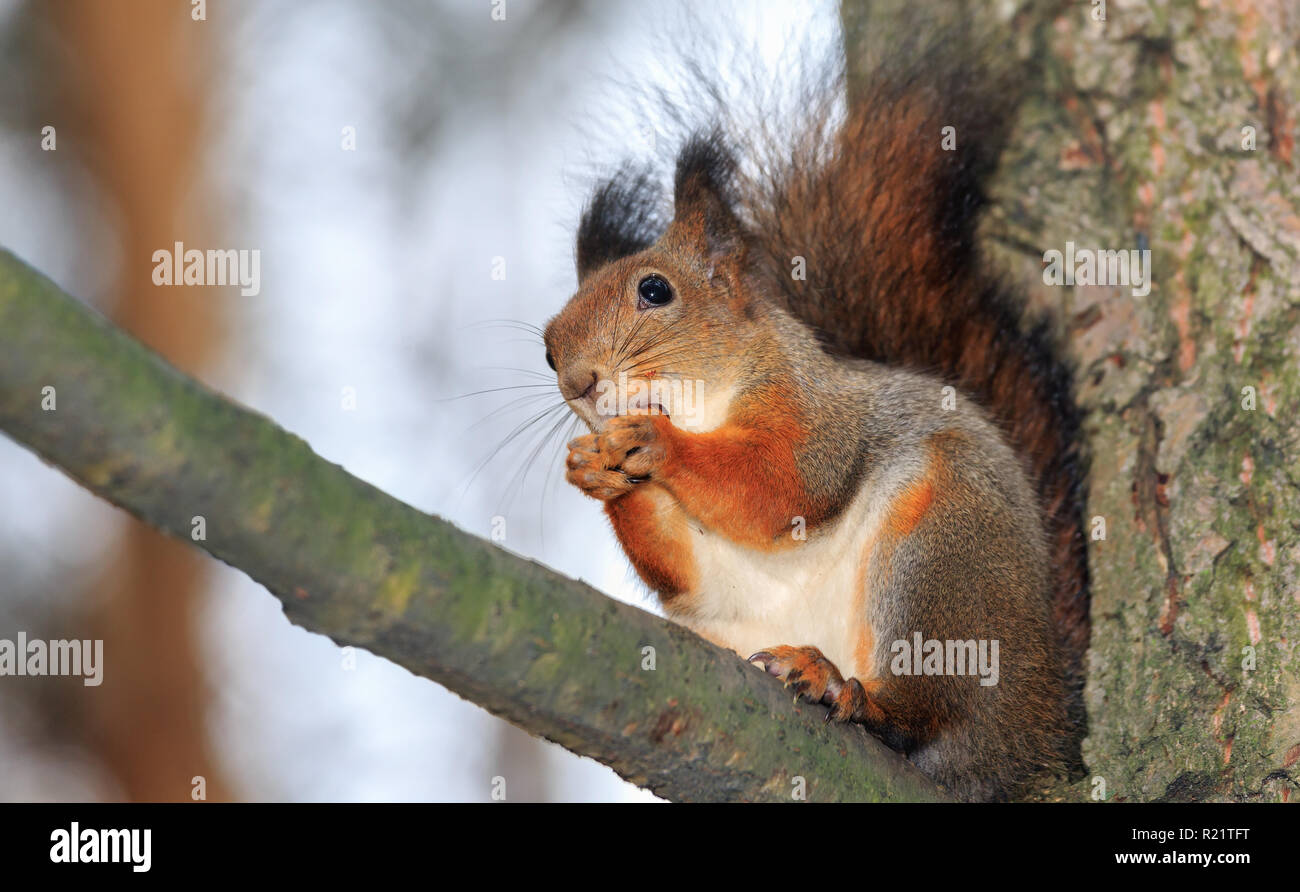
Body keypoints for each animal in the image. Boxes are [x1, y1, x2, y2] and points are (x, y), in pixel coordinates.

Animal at [541, 24, 1089, 802]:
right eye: (547, 350)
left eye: (655, 291)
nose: (580, 382)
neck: (709, 404)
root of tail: (1040, 728)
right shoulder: (704, 577)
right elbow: (683, 568)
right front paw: (598, 472)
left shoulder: (817, 413)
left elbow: (783, 486)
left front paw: (657, 442)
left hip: (947, 554)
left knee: (936, 711)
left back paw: (849, 691)